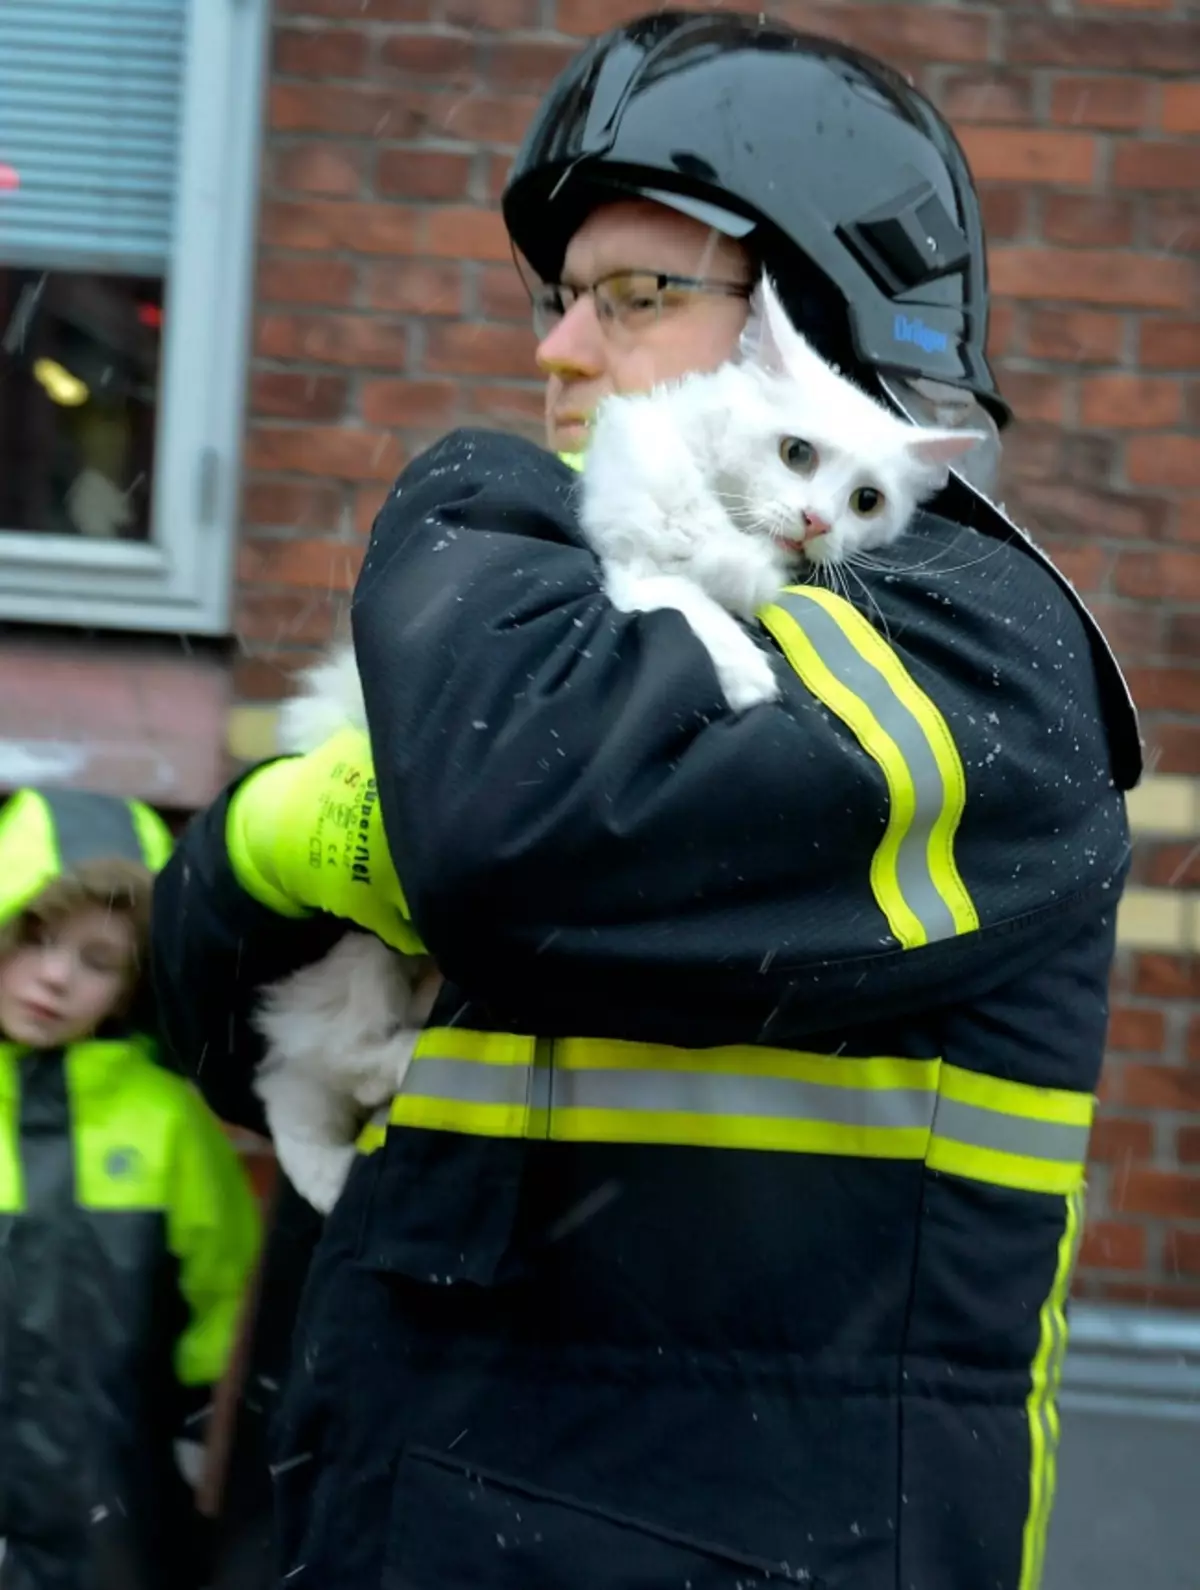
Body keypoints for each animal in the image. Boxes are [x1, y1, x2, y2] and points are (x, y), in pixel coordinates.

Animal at [581, 276, 985, 712]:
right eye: (797, 453)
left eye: (866, 501)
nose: (818, 523)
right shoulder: (631, 555)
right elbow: (682, 597)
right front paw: (746, 674)